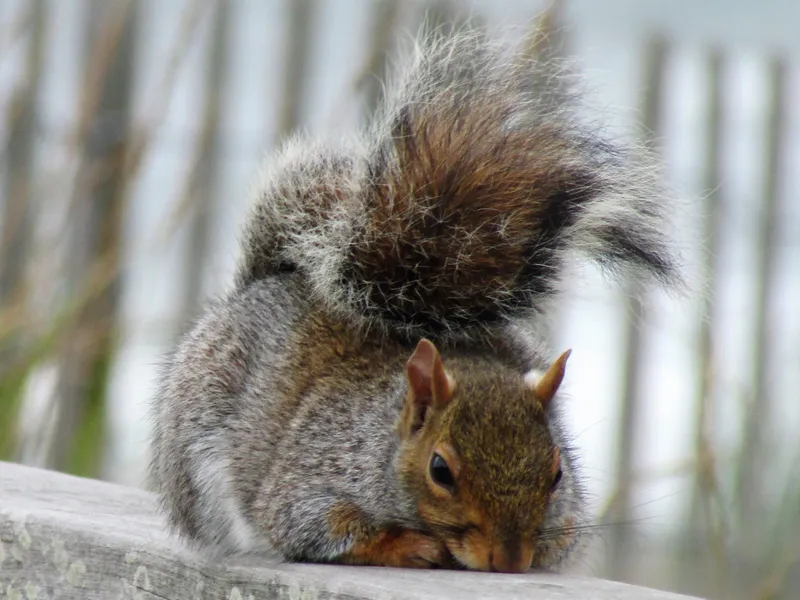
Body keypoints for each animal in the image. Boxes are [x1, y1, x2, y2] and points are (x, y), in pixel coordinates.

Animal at [149, 29, 681, 573]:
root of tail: (259, 286)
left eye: (557, 473)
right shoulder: (311, 481)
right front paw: (411, 545)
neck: (386, 441)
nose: (509, 559)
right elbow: (324, 532)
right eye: (440, 469)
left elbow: (563, 537)